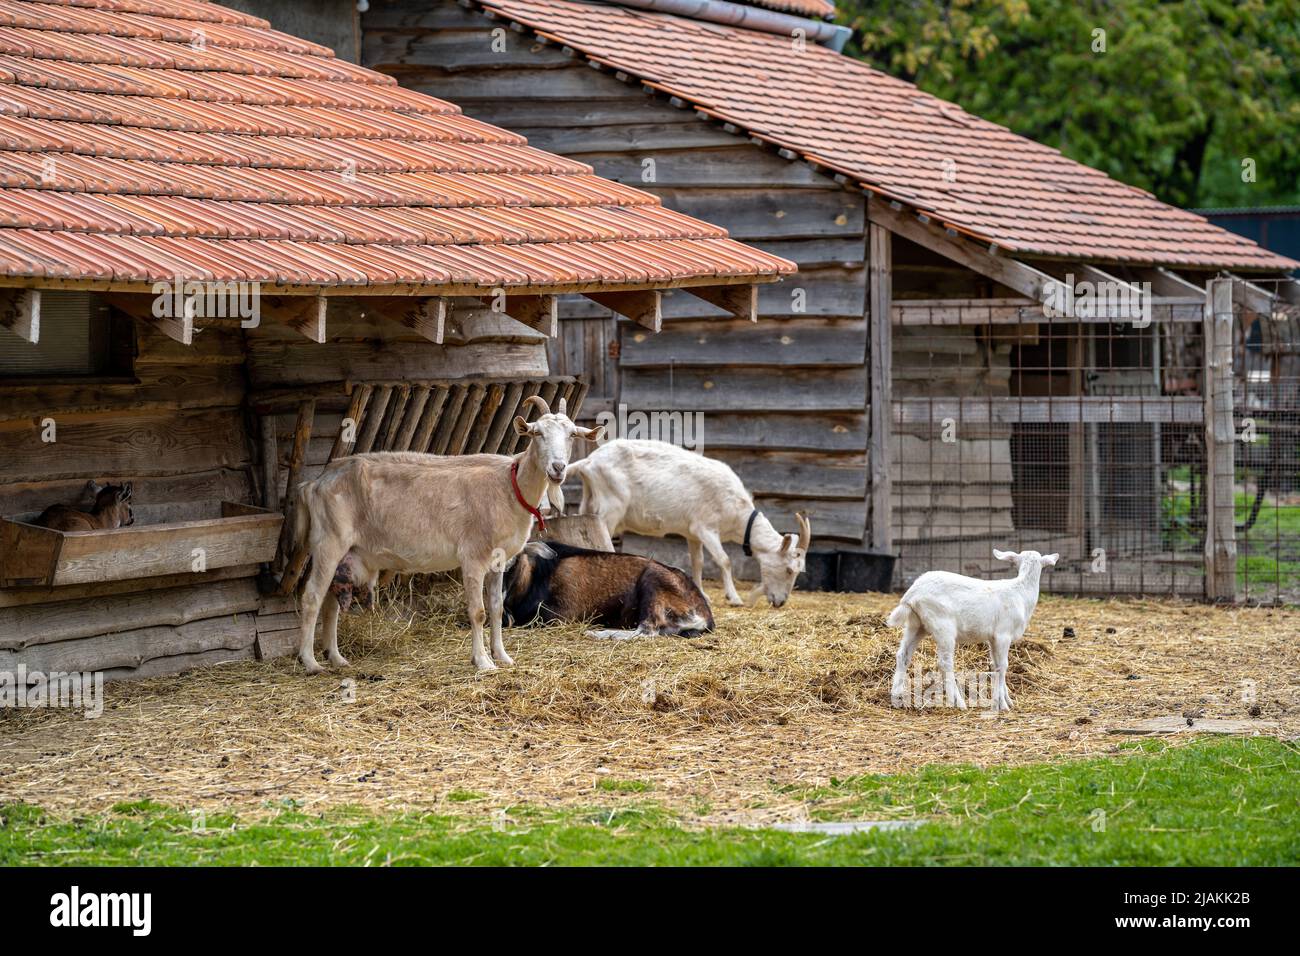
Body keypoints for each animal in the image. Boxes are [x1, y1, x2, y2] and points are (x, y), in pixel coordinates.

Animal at [291, 396, 602, 674]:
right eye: (537, 433)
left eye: (572, 435)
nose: (558, 468)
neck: (509, 486)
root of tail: (314, 483)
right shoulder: (473, 556)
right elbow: (478, 611)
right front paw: (483, 663)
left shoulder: (499, 560)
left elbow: (497, 608)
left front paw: (502, 656)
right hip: (329, 543)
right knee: (312, 597)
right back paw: (311, 662)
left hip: (345, 553)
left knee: (330, 602)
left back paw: (337, 658)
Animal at [503, 541, 713, 639]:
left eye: (512, 563)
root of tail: (705, 615)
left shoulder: (556, 616)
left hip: (653, 582)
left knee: (647, 630)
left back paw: (598, 634)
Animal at [562, 439, 810, 607]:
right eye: (789, 570)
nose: (780, 602)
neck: (738, 512)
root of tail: (588, 462)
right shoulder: (706, 528)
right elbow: (724, 560)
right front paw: (734, 598)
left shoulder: (693, 533)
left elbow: (698, 562)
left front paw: (703, 594)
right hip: (611, 507)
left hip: (588, 502)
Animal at [886, 549, 1057, 711]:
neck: (1021, 593)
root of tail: (911, 594)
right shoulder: (1003, 634)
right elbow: (1003, 665)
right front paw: (1002, 704)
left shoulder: (992, 638)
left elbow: (995, 664)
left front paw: (1007, 699)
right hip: (943, 625)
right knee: (944, 663)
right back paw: (958, 702)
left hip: (916, 624)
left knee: (903, 655)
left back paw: (897, 695)